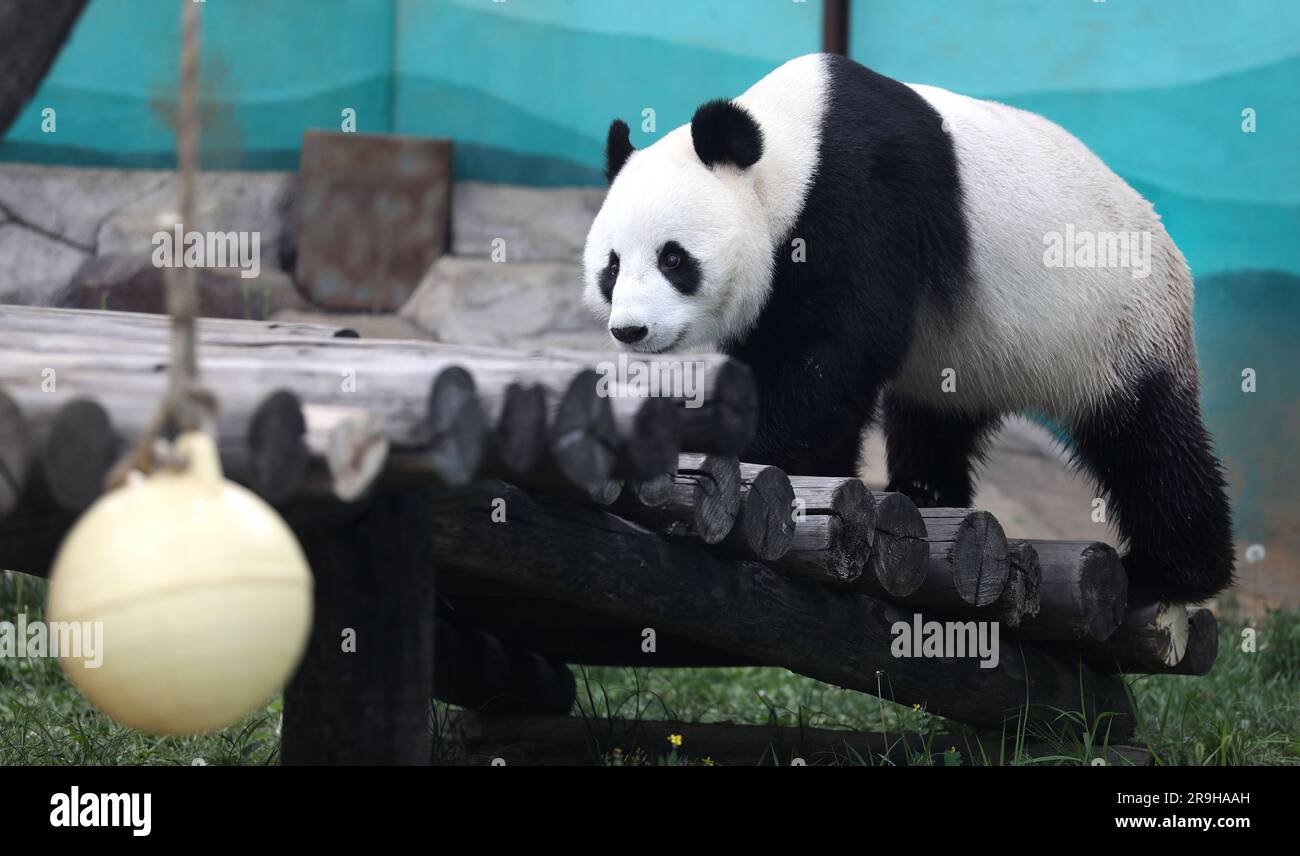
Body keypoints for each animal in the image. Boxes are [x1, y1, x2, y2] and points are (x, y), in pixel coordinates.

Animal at [582, 53, 1233, 604]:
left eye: (673, 258)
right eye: (611, 266)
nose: (631, 331)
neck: (792, 149)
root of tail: (1171, 247)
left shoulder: (865, 193)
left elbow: (841, 347)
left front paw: (771, 461)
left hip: (1118, 322)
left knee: (1146, 441)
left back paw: (1170, 572)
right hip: (967, 352)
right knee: (934, 417)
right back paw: (927, 493)